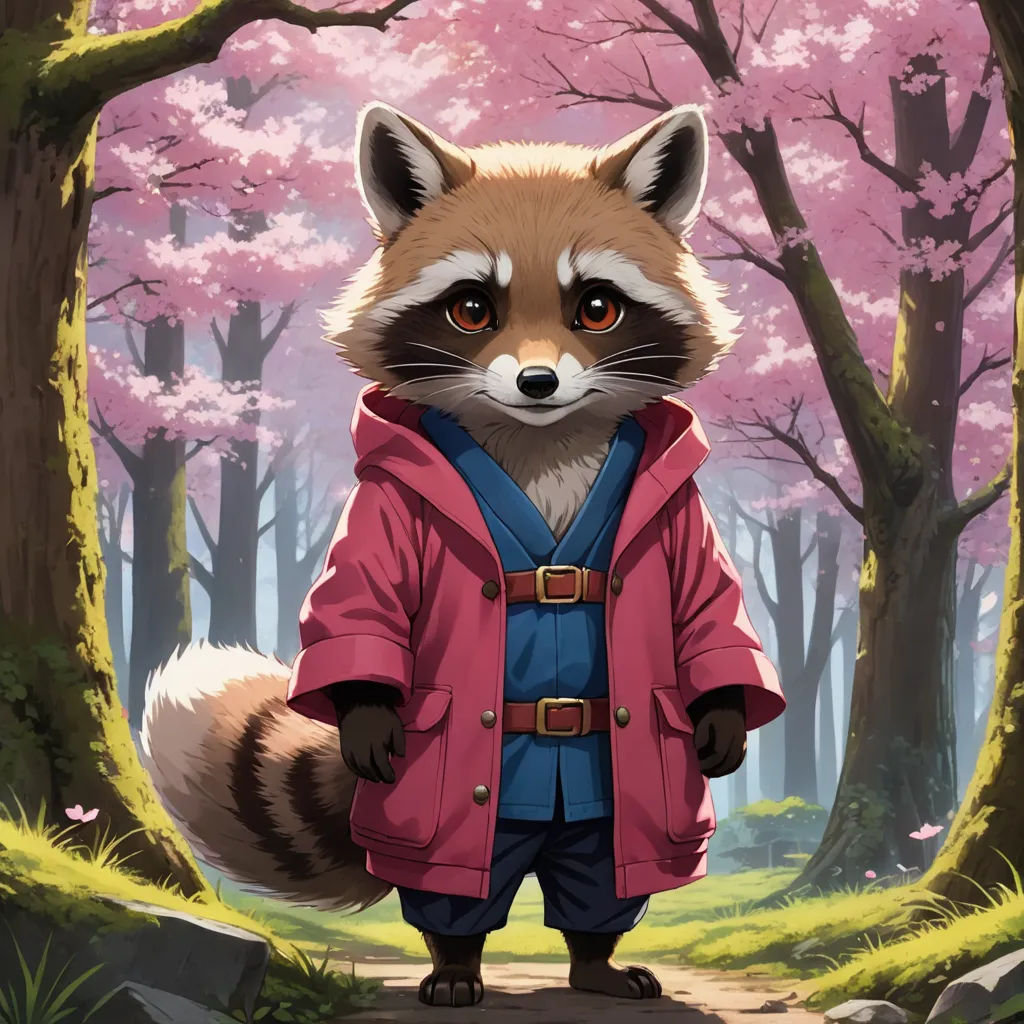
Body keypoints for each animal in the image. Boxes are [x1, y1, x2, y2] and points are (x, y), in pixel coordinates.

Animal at [142, 100, 784, 1009]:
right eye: (473, 308)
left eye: (597, 307)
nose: (539, 383)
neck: (540, 443)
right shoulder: (388, 510)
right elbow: (363, 598)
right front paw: (366, 707)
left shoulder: (679, 517)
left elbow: (706, 606)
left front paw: (724, 707)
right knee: (456, 886)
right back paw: (453, 962)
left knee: (599, 869)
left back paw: (594, 958)